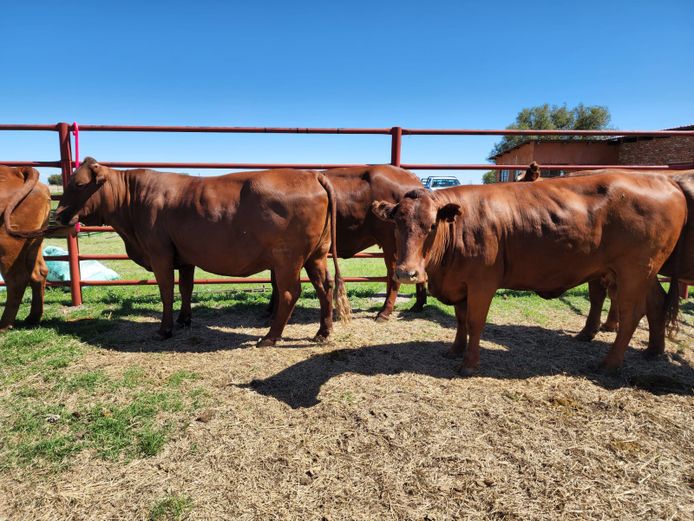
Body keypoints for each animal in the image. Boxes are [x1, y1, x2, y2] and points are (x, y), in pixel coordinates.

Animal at [0, 166, 50, 331]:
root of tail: (17, 170)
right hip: (34, 242)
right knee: (39, 272)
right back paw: (32, 318)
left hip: (8, 245)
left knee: (17, 279)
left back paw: (4, 325)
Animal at [54, 158, 350, 344]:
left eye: (78, 184)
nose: (58, 215)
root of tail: (313, 174)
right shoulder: (185, 257)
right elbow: (186, 288)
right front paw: (185, 319)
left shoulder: (159, 253)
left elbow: (166, 292)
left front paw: (165, 329)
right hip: (316, 255)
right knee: (324, 287)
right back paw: (323, 333)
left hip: (288, 259)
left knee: (290, 292)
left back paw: (270, 337)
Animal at [269, 165, 426, 321]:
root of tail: (412, 178)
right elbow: (274, 280)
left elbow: (277, 281)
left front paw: (274, 309)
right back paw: (418, 305)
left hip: (392, 246)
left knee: (395, 278)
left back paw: (384, 312)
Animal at [372, 173, 687, 374]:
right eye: (397, 223)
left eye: (431, 225)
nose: (407, 273)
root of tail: (665, 181)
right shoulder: (460, 284)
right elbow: (461, 320)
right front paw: (455, 350)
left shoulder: (482, 283)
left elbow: (474, 322)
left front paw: (469, 364)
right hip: (646, 273)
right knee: (656, 304)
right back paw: (653, 351)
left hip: (634, 271)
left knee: (631, 314)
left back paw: (609, 364)